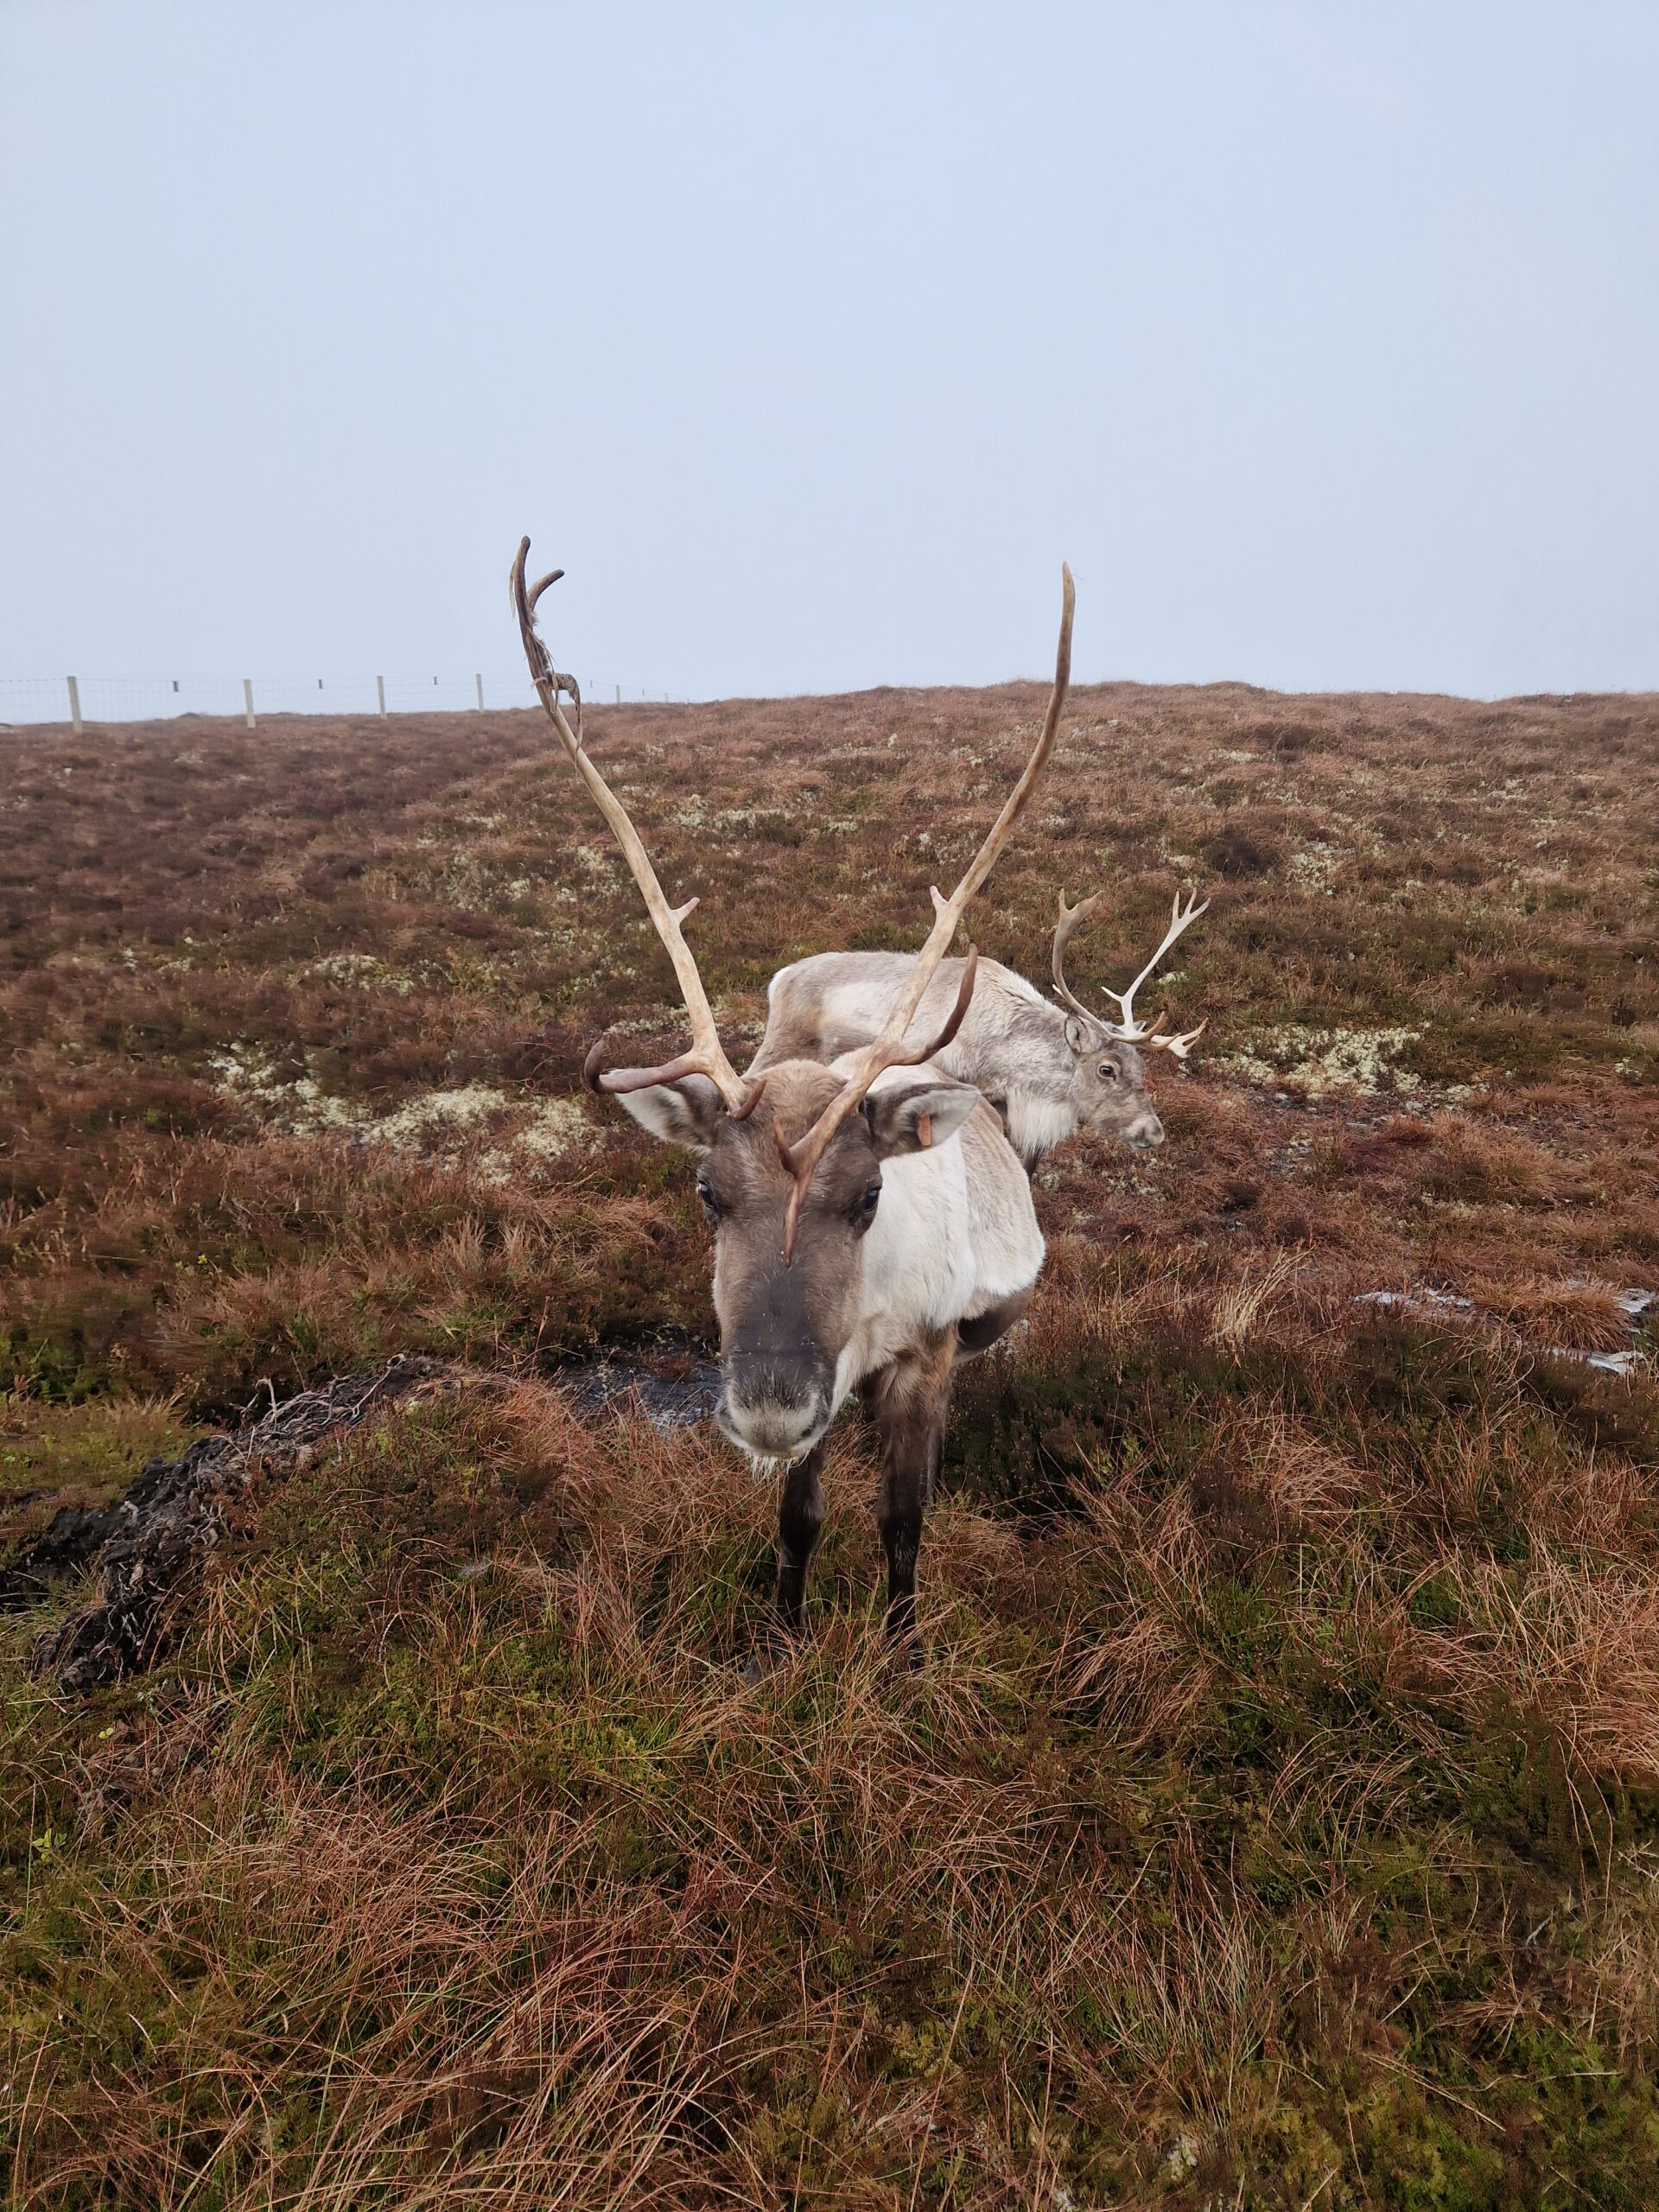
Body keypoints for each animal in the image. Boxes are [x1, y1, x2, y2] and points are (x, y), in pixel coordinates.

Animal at [512, 538, 1072, 1658]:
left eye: (869, 1197)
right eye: (705, 1193)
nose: (767, 1406)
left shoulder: (920, 1360)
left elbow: (903, 1519)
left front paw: (902, 1651)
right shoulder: (831, 1381)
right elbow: (799, 1518)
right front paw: (780, 1642)